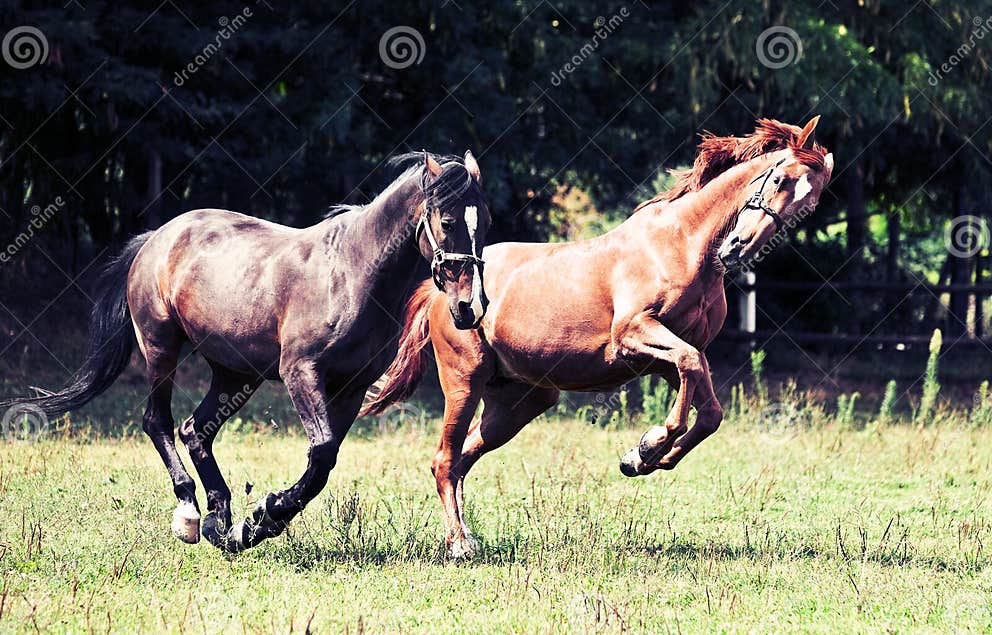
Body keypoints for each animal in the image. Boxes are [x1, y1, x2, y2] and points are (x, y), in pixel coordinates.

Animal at [1, 151, 490, 552]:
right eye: (448, 221)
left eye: (483, 224)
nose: (471, 308)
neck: (352, 273)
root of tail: (157, 237)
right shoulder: (301, 372)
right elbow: (322, 452)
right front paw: (266, 513)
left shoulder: (352, 386)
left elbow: (324, 461)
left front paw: (253, 526)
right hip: (162, 348)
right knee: (158, 421)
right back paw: (190, 513)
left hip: (236, 373)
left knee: (196, 430)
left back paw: (220, 522)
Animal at [361, 118, 834, 558]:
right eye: (779, 179)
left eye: (807, 206)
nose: (736, 248)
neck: (682, 245)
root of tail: (440, 290)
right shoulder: (635, 335)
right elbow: (688, 379)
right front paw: (647, 448)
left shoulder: (668, 355)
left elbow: (709, 409)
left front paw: (642, 459)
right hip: (465, 382)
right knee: (444, 460)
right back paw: (459, 544)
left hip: (517, 403)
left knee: (461, 460)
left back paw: (465, 536)